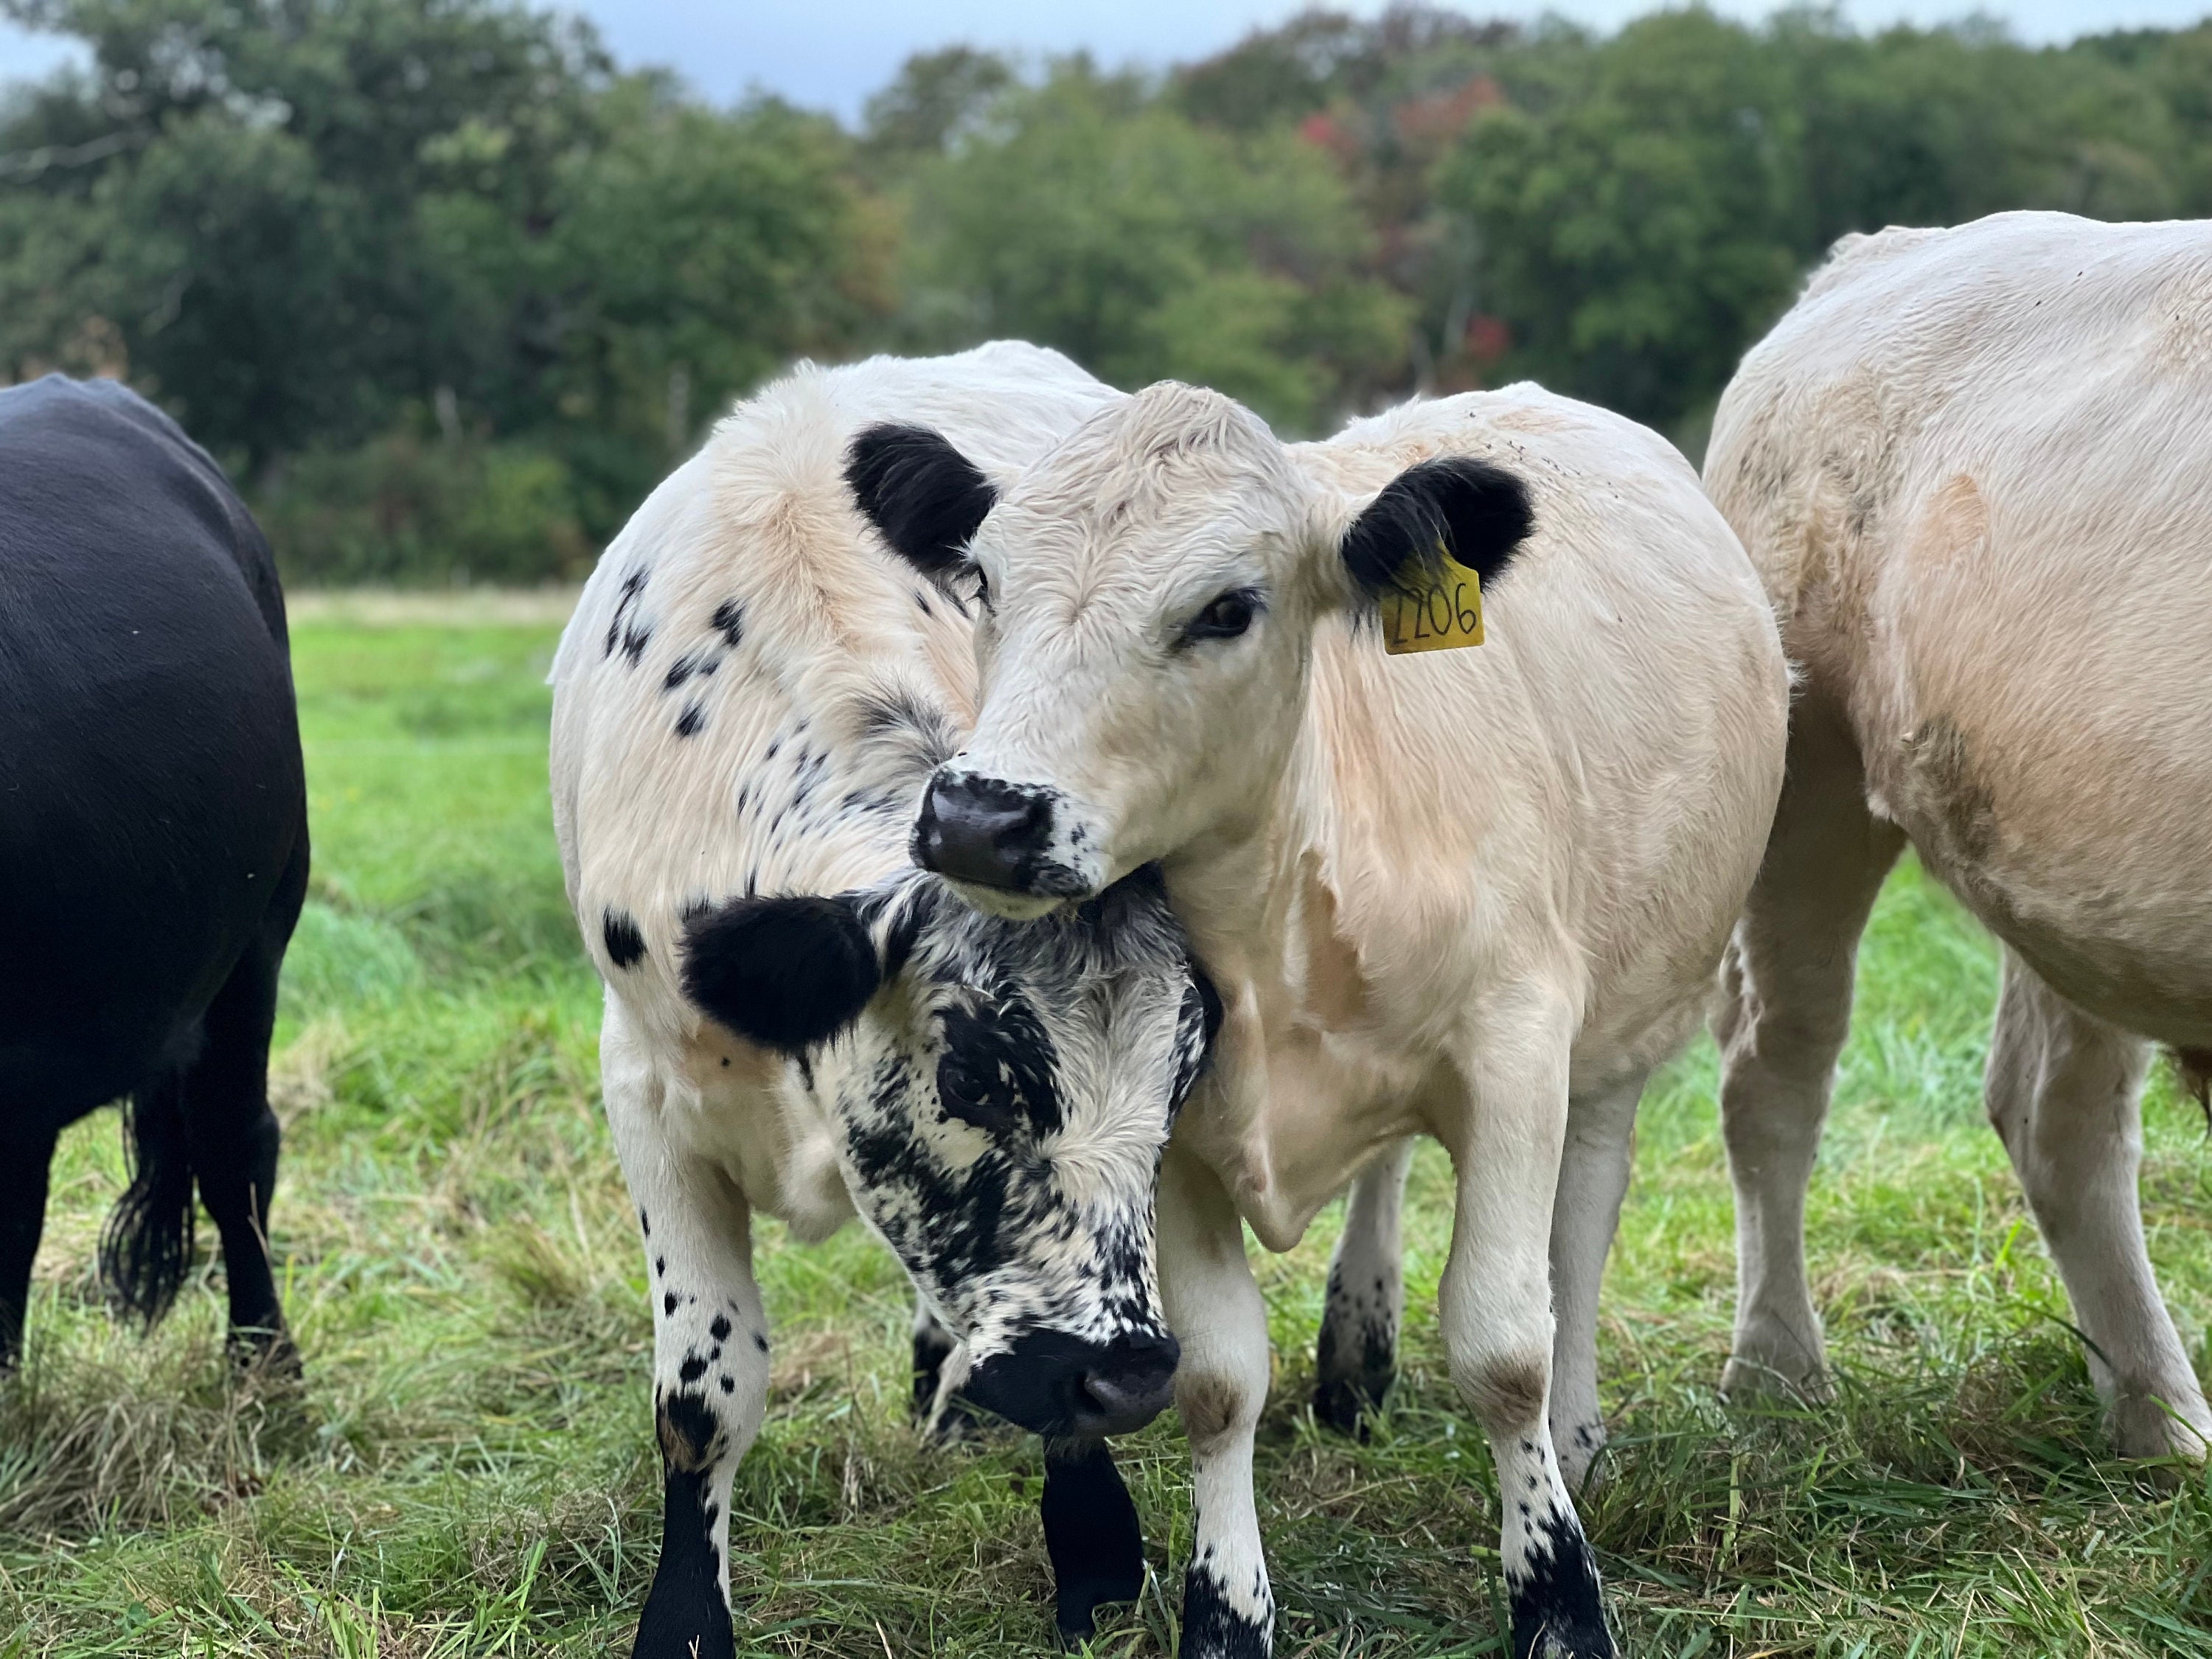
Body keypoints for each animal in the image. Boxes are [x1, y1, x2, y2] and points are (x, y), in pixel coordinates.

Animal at [548, 343, 1239, 1657]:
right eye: (973, 1075)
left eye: (1183, 1078)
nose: (1128, 1376)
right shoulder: (644, 1087)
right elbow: (704, 1392)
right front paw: (684, 1617)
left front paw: (1093, 1555)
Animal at [856, 382, 1791, 1658]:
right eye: (986, 579)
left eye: (1226, 608)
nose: (979, 817)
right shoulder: (1170, 1128)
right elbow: (1215, 1378)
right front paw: (1226, 1610)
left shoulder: (1516, 1049)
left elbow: (1505, 1343)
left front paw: (1557, 1593)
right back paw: (1356, 1355)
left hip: (1617, 1039)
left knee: (1581, 1228)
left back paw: (1579, 1436)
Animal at [1703, 211, 2212, 1463]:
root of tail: (1880, 249)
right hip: (1805, 776)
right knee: (1775, 1066)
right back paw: (1778, 1373)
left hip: (2080, 862)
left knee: (2053, 1112)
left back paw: (2159, 1417)